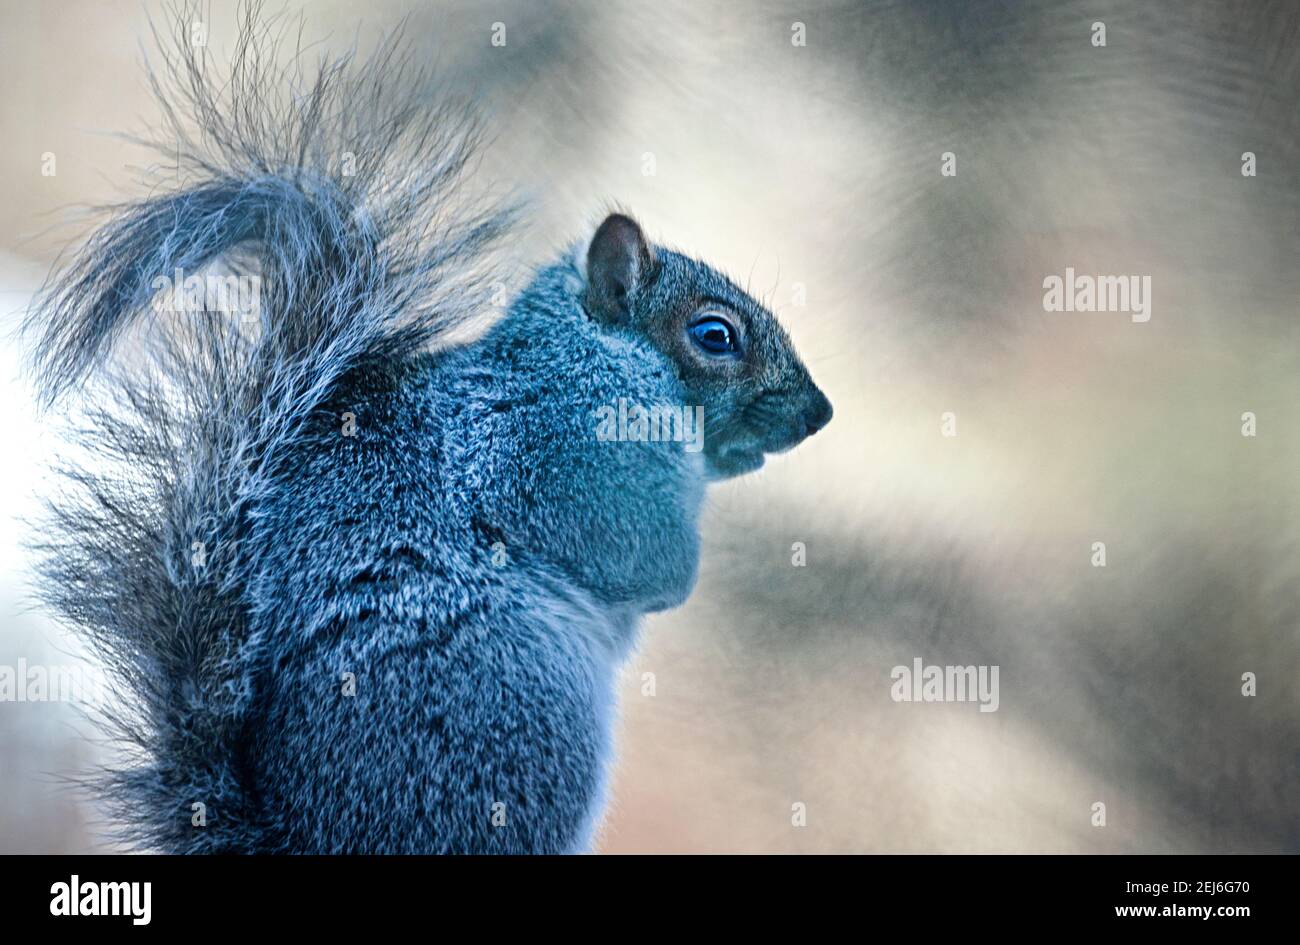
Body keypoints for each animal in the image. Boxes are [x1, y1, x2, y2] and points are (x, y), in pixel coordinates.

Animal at [26, 8, 831, 853]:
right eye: (715, 335)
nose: (819, 413)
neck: (590, 347)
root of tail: (297, 834)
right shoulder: (566, 443)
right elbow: (639, 551)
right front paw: (681, 574)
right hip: (513, 724)